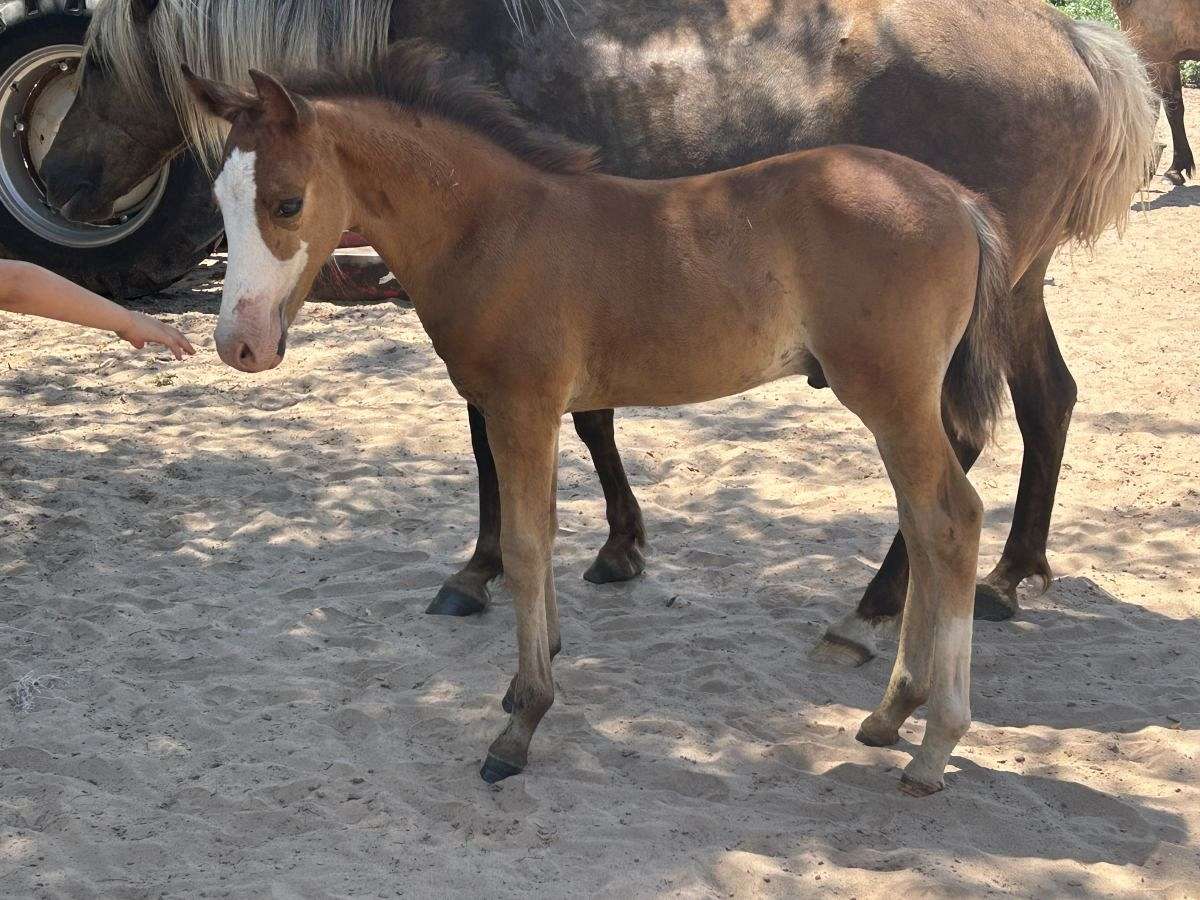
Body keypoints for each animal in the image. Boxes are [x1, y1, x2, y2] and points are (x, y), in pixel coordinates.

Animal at [41, 0, 1157, 666]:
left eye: (89, 59)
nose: (55, 178)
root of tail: (1083, 44)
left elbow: (504, 441)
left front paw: (488, 565)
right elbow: (590, 422)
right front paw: (617, 545)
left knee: (960, 448)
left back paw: (888, 601)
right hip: (1013, 290)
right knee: (1046, 403)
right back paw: (1007, 574)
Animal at [183, 47, 1013, 794]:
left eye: (288, 203)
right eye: (219, 206)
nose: (239, 344)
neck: (494, 230)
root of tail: (961, 201)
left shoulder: (520, 407)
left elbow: (522, 548)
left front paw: (520, 725)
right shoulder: (535, 411)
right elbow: (546, 533)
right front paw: (529, 681)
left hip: (891, 396)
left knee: (952, 521)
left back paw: (935, 744)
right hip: (900, 403)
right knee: (921, 522)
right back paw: (892, 712)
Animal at [1115, 0, 1200, 185]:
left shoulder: (1152, 53)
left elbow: (1149, 109)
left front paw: (1142, 172)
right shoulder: (1169, 58)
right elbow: (1173, 107)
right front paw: (1175, 170)